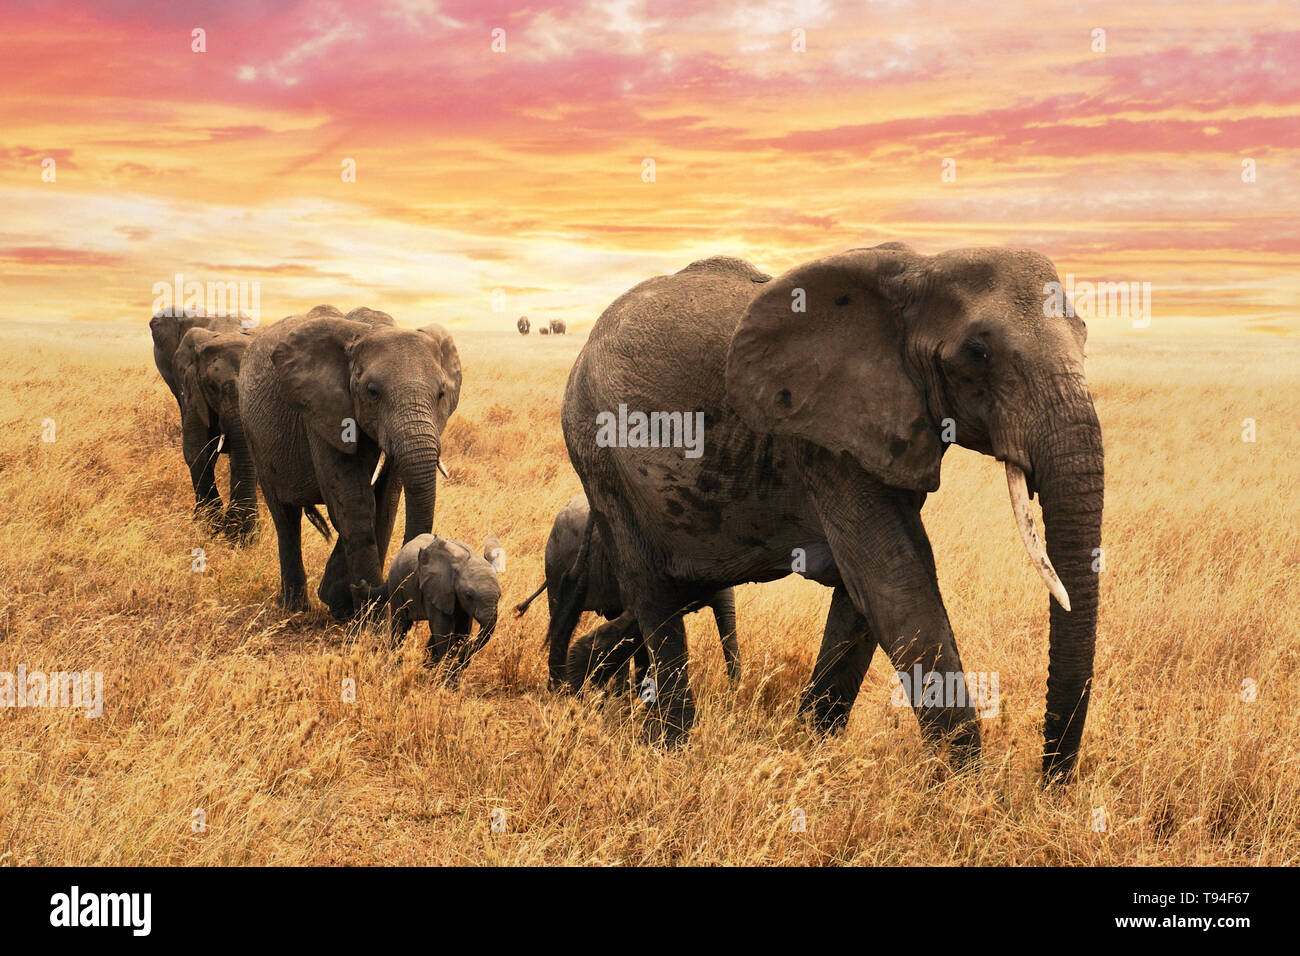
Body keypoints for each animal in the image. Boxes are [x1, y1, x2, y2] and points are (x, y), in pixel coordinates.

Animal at [237, 304, 462, 620]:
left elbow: (386, 503)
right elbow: (354, 502)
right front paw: (367, 619)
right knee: (285, 516)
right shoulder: (321, 410)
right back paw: (295, 608)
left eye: (441, 394)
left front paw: (344, 604)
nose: (365, 587)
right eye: (372, 391)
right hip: (253, 434)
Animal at [386, 533, 501, 681]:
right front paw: (448, 679)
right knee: (401, 624)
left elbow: (462, 630)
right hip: (395, 584)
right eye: (469, 595)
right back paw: (395, 669)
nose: (465, 652)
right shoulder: (437, 588)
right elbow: (442, 629)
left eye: (499, 595)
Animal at [552, 247, 1104, 781]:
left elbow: (866, 593)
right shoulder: (825, 438)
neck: (921, 266)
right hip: (598, 454)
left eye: (1085, 338)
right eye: (978, 352)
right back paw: (671, 746)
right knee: (654, 595)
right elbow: (895, 582)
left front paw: (812, 748)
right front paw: (965, 790)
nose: (1048, 784)